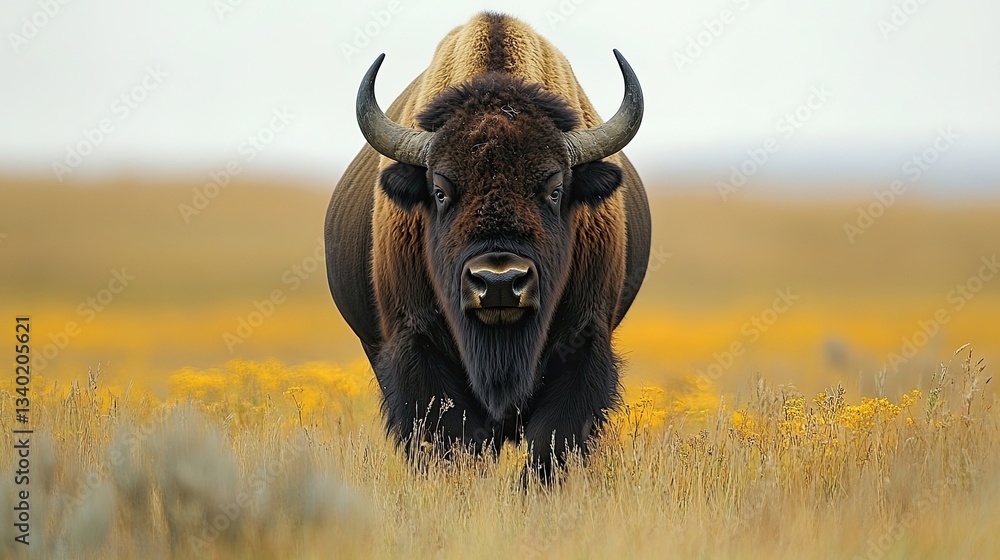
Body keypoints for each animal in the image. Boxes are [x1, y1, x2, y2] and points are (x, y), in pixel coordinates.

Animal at [325, 12, 650, 479]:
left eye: (555, 189)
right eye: (440, 190)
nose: (499, 282)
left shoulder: (584, 342)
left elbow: (549, 444)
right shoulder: (415, 344)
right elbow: (449, 438)